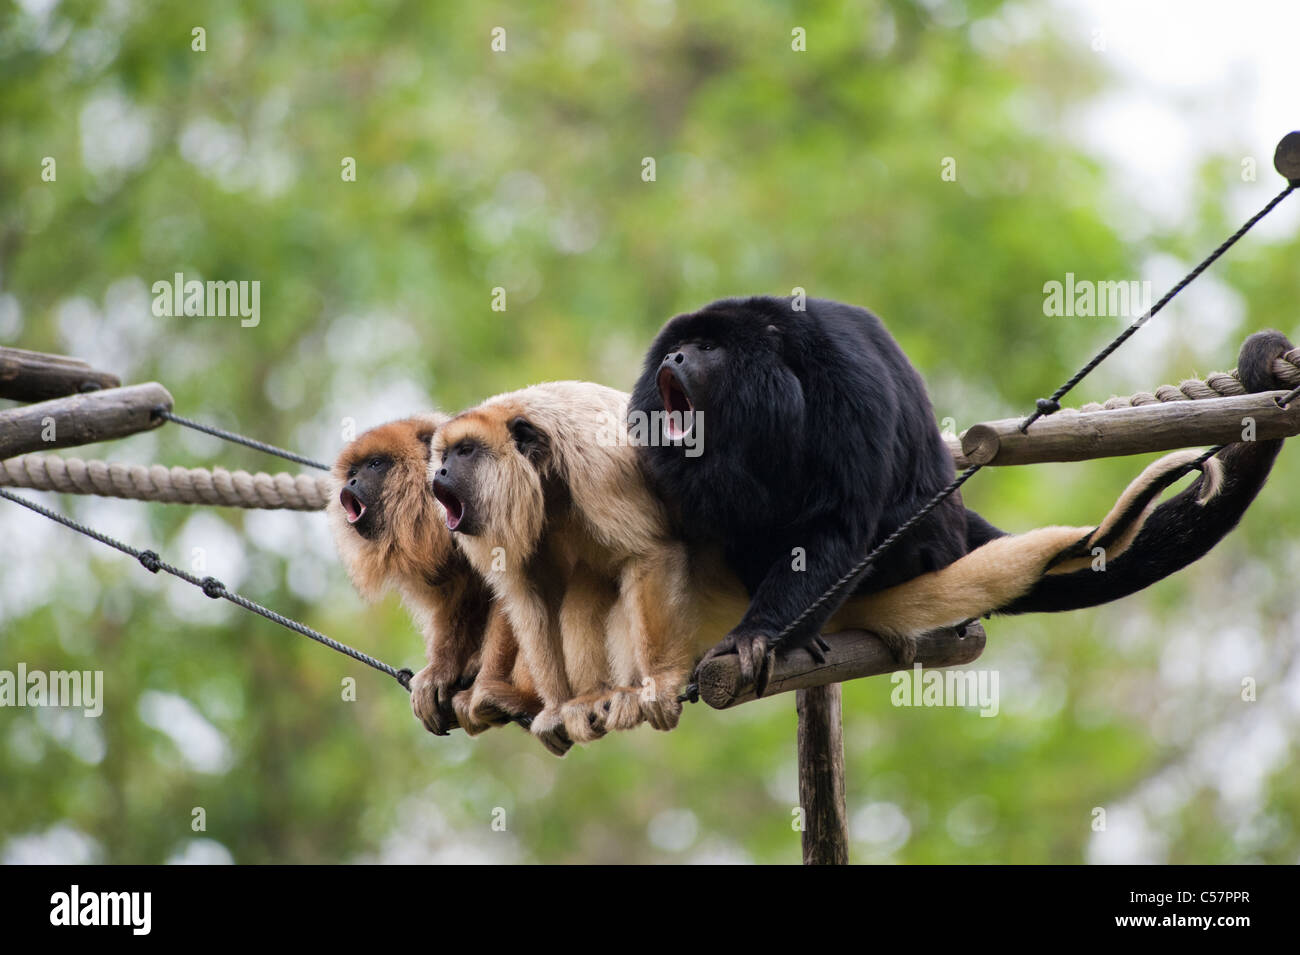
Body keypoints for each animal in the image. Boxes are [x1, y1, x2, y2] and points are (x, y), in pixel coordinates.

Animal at [326, 415, 541, 738]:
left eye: (375, 464)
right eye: (352, 471)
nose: (351, 482)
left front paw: (479, 692)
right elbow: (457, 599)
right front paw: (439, 673)